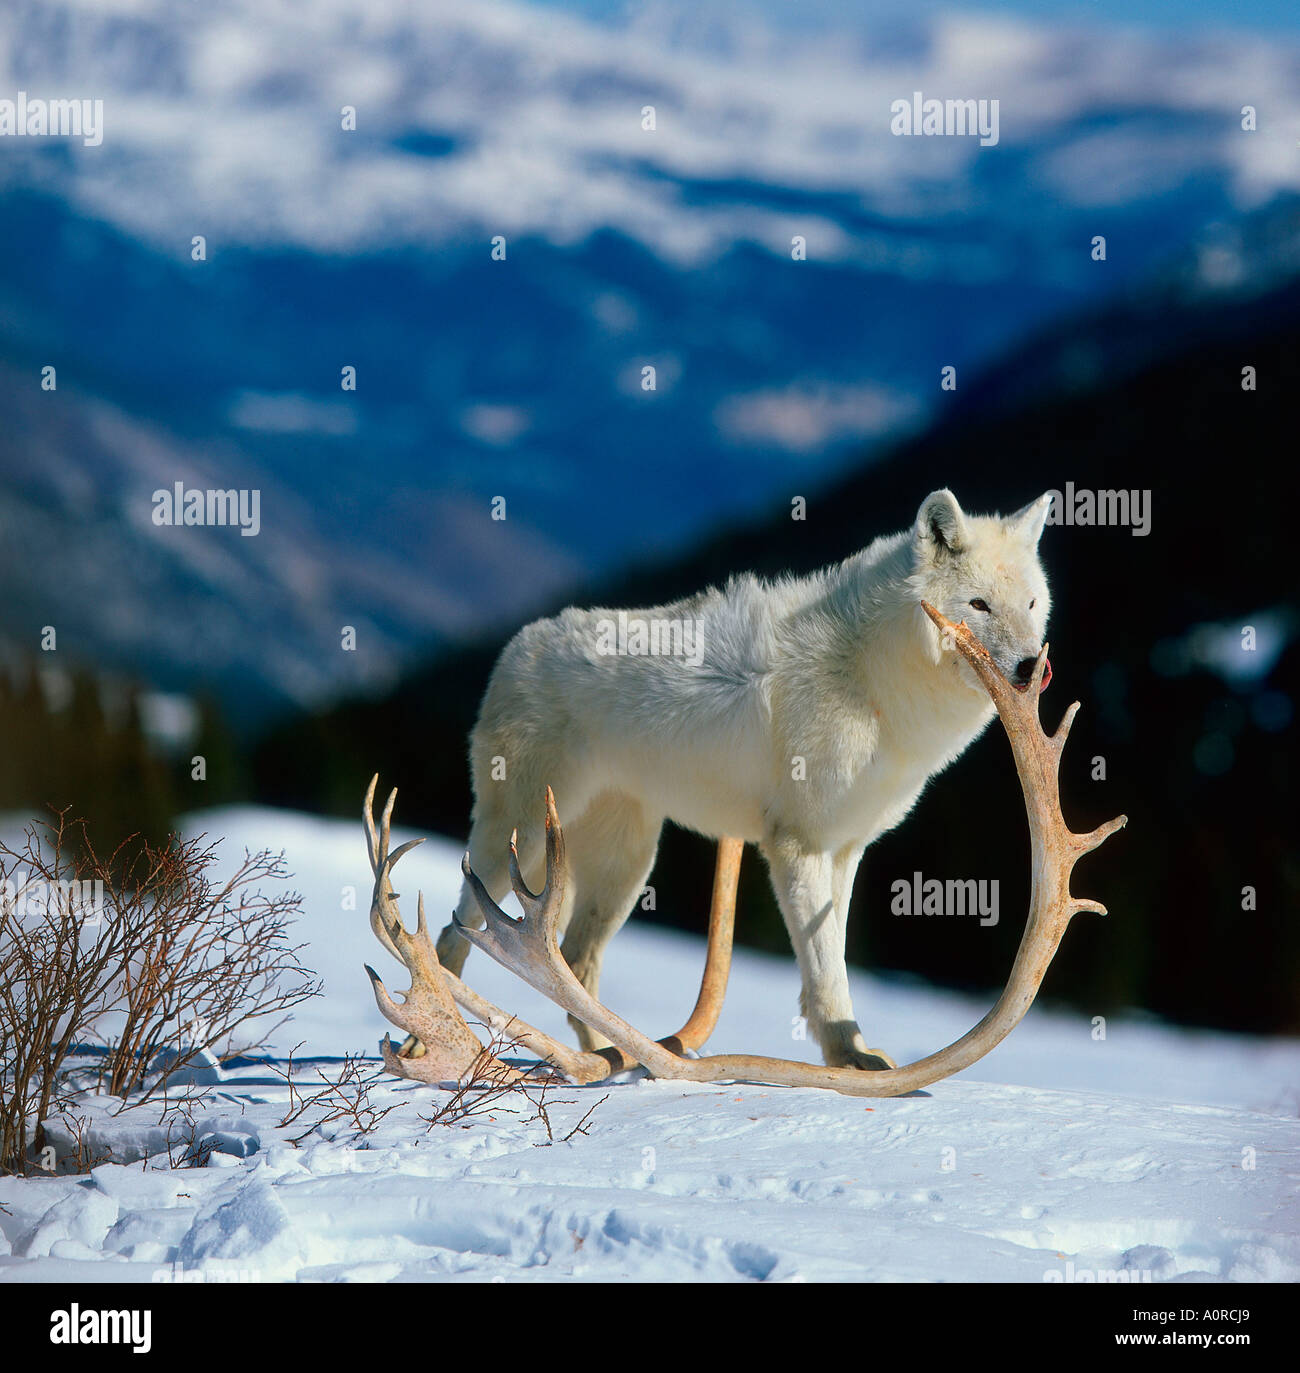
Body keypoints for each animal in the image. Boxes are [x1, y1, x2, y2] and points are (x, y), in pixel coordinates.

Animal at [436, 489, 1054, 1071]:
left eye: (1030, 604)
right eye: (978, 604)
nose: (1031, 666)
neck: (872, 676)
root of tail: (516, 646)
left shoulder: (846, 849)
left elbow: (834, 955)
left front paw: (850, 1053)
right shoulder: (798, 844)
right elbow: (825, 968)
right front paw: (851, 1059)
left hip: (624, 867)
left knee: (576, 962)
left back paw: (614, 1059)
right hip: (520, 846)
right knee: (456, 934)